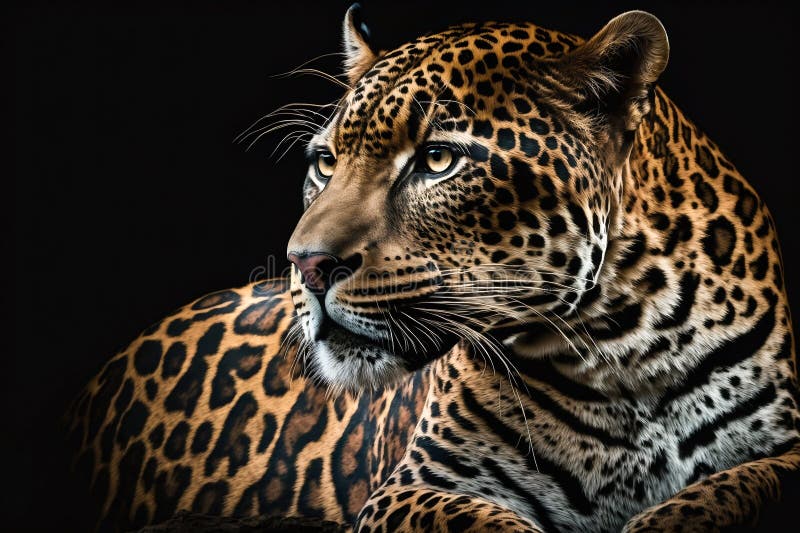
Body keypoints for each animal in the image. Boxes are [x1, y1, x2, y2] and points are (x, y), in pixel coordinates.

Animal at [68, 4, 800, 532]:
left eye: (438, 160)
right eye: (325, 162)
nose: (307, 264)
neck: (625, 358)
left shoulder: (783, 448)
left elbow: (722, 490)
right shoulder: (419, 485)